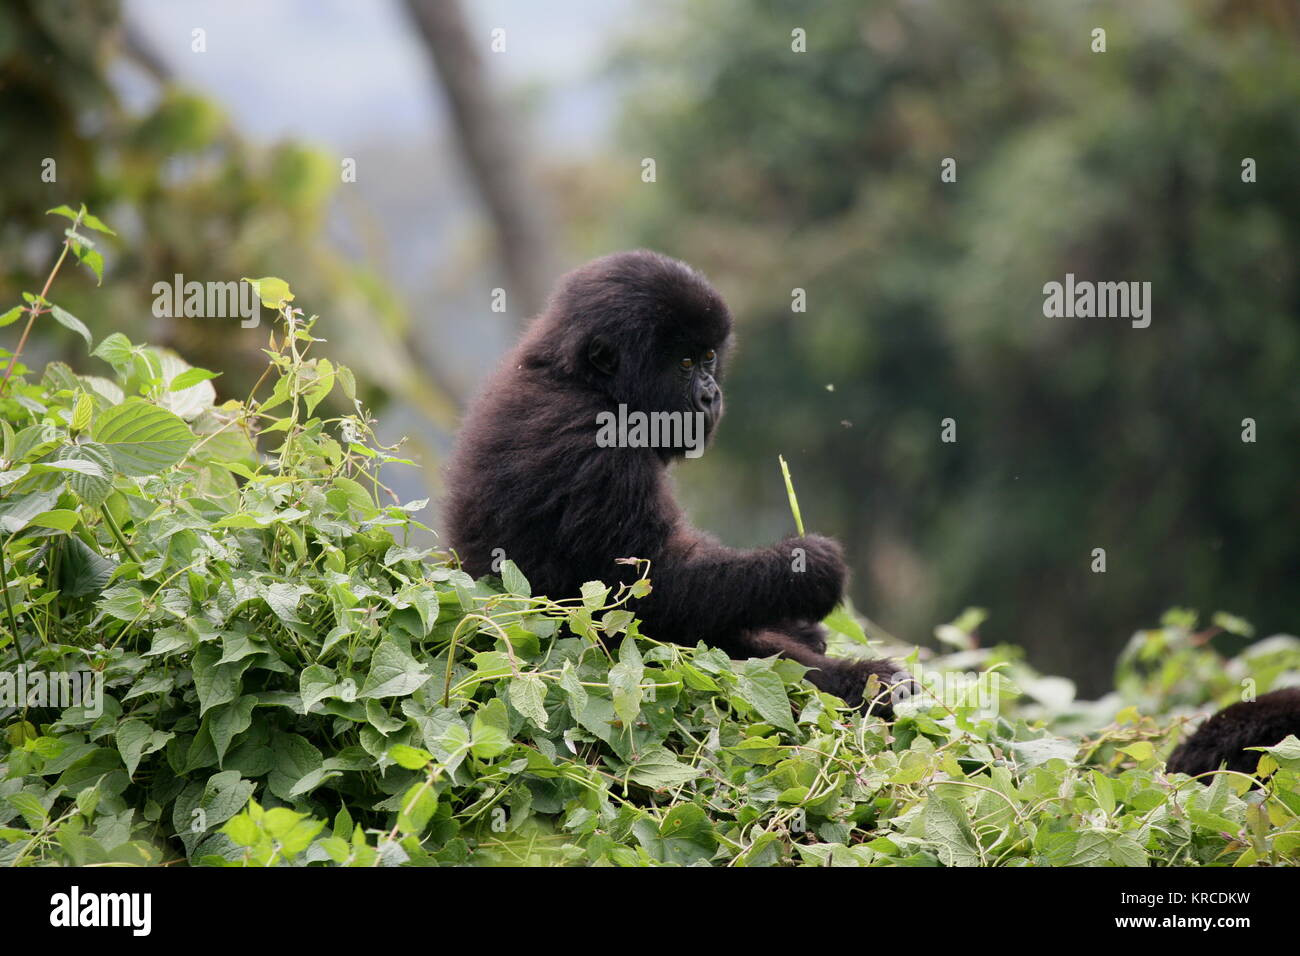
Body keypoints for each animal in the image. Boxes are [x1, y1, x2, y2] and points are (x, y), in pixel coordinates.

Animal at [445, 250, 908, 715]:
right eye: (684, 364)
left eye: (708, 357)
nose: (711, 395)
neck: (582, 381)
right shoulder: (598, 448)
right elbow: (653, 592)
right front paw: (807, 568)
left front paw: (802, 622)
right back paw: (867, 683)